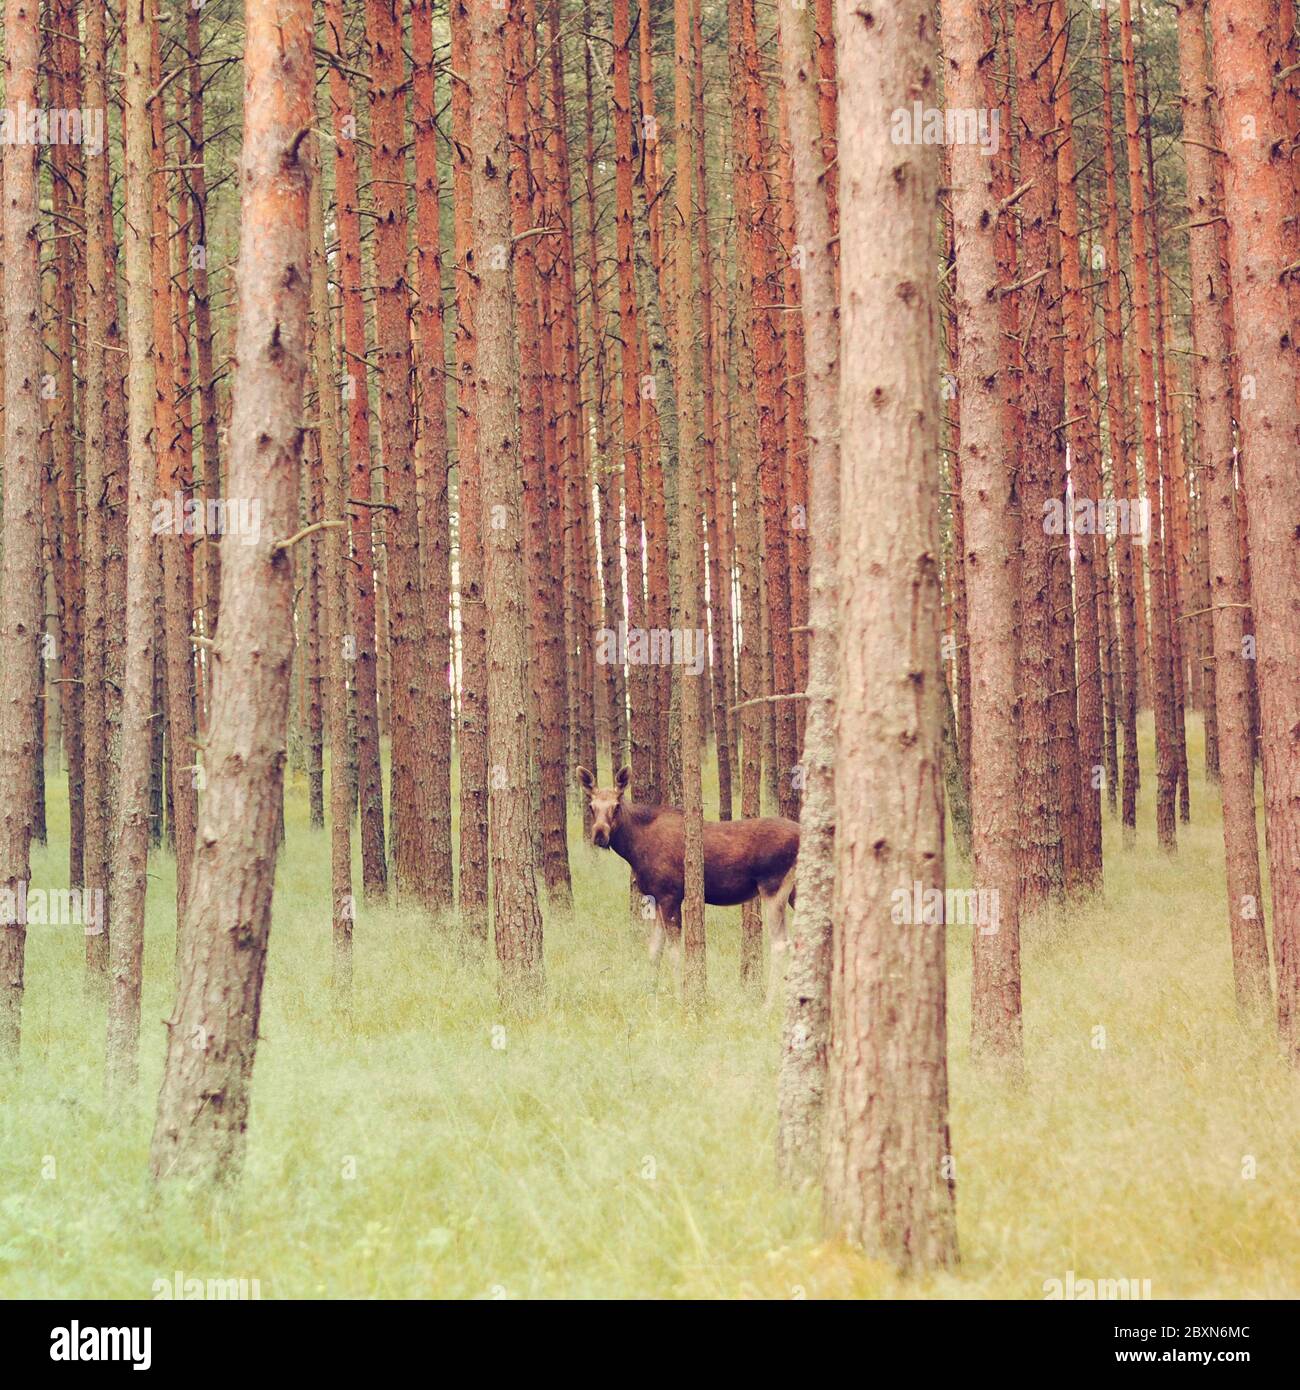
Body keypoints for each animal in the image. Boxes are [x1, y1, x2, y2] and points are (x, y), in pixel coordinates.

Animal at [576, 766, 799, 1004]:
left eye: (616, 806)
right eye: (591, 806)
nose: (599, 835)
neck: (634, 850)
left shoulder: (670, 895)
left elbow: (674, 952)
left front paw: (679, 996)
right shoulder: (655, 898)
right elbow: (654, 951)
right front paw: (650, 996)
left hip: (773, 886)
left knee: (780, 943)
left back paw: (769, 1004)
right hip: (793, 891)